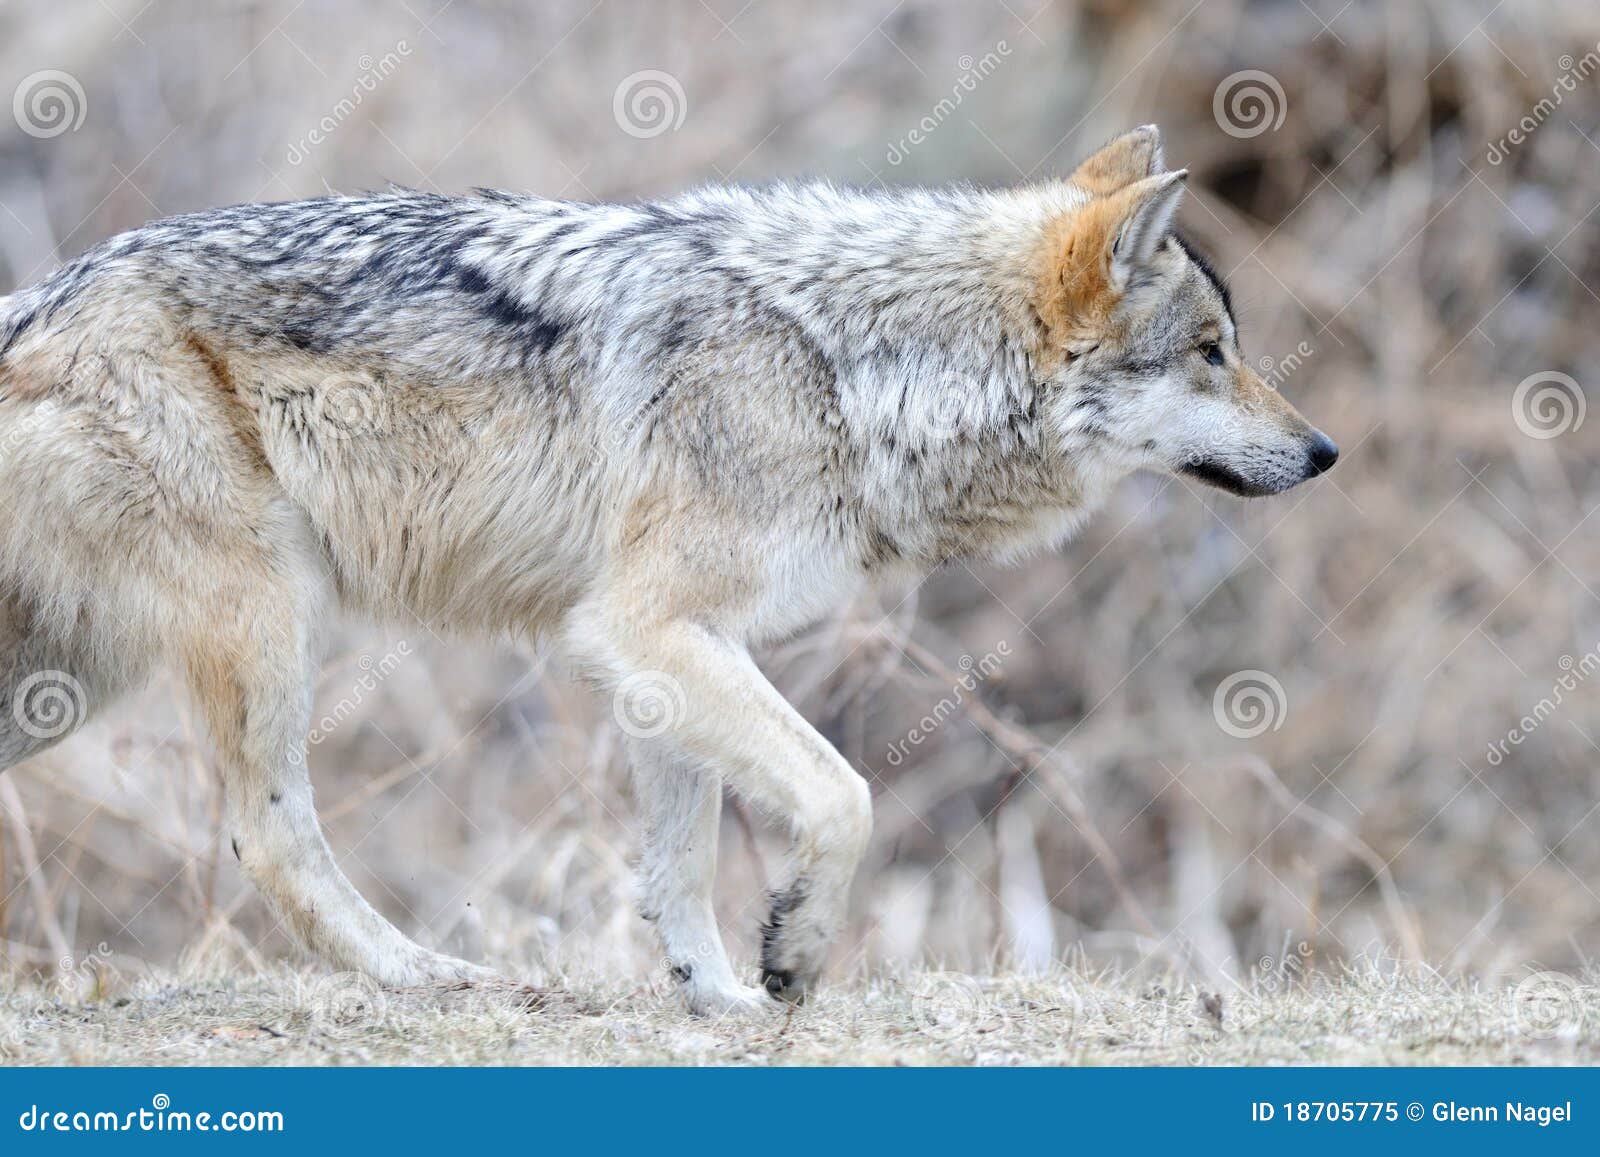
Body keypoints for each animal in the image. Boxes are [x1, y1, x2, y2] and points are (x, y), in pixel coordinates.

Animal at [0, 125, 1335, 1016]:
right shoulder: (648, 626)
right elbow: (844, 795)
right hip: (264, 621)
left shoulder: (663, 646)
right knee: (272, 836)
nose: (1325, 451)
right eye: (1212, 352)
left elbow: (679, 863)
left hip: (74, 675)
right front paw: (794, 953)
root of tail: (36, 299)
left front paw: (720, 995)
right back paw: (429, 973)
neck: (857, 369)